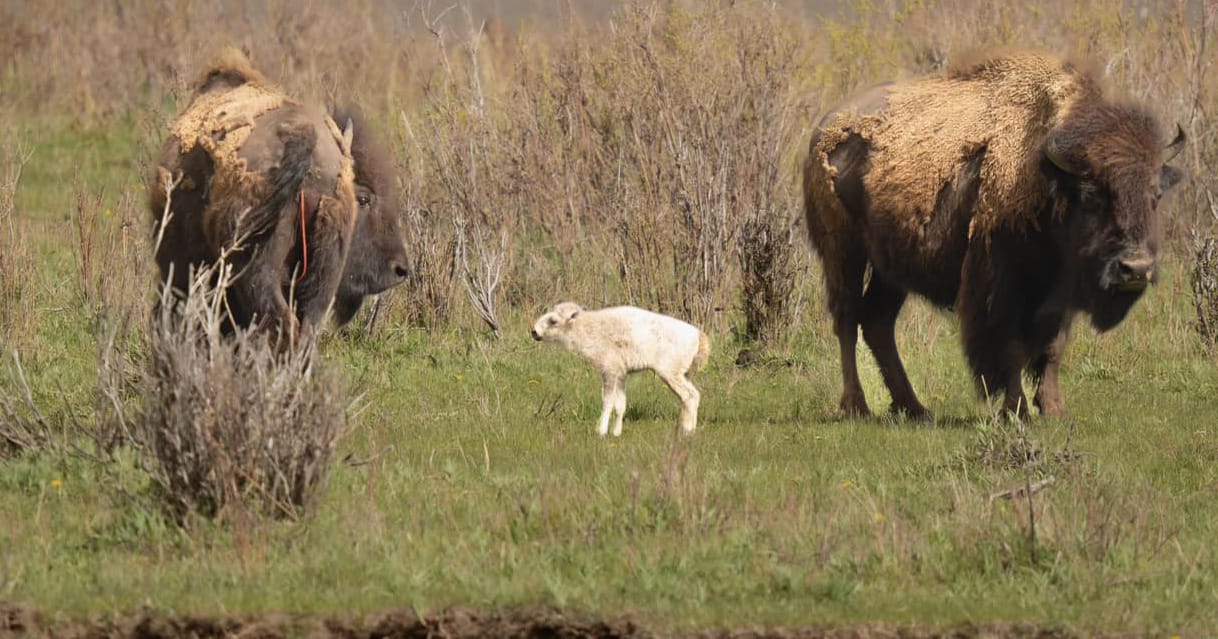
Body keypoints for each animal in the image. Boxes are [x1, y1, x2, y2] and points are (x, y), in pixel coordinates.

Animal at [803, 50, 1185, 418]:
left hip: (891, 268)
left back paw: (914, 408)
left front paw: (1054, 410)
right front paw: (1015, 409)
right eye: (1092, 196)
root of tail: (825, 127)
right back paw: (858, 406)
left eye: (1155, 195)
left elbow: (1052, 348)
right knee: (847, 319)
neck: (1049, 175)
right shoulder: (999, 288)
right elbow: (1009, 349)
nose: (1135, 268)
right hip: (844, 253)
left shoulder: (1058, 295)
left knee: (877, 322)